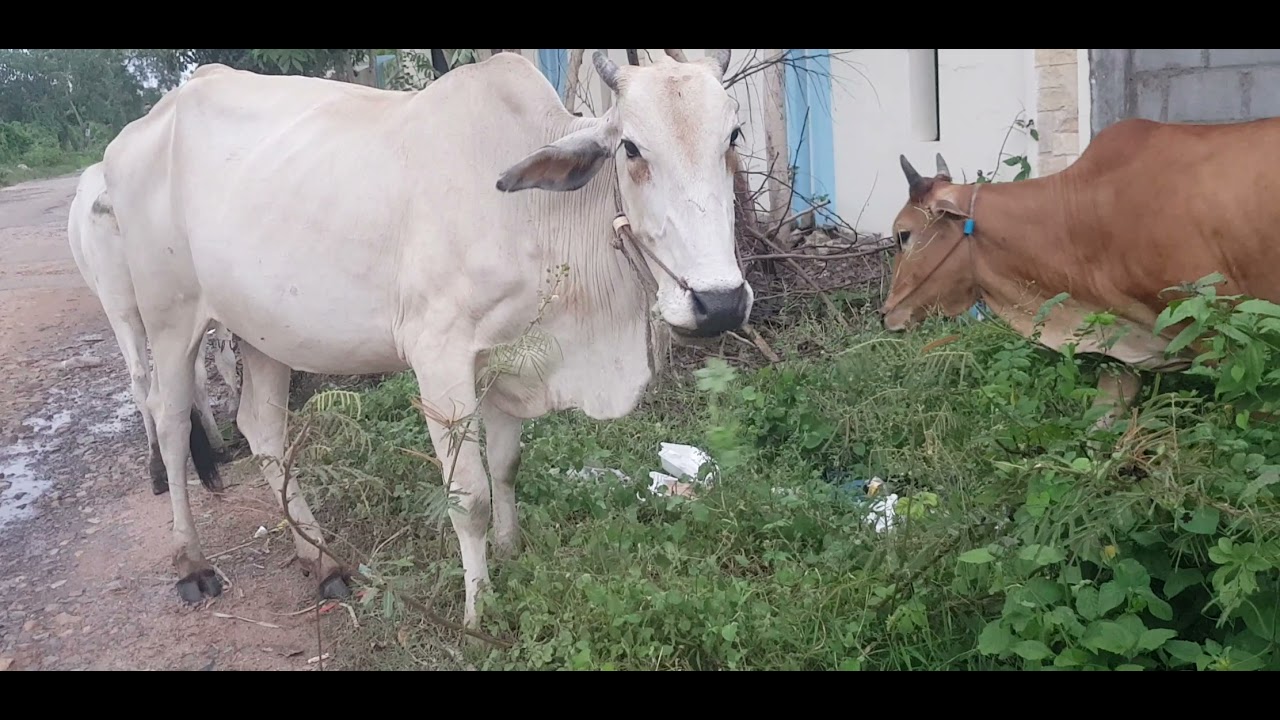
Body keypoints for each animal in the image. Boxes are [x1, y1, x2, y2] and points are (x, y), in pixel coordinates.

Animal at [100, 49, 752, 627]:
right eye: (632, 148)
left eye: (733, 137)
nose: (719, 302)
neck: (537, 218)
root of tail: (140, 129)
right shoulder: (440, 357)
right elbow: (471, 496)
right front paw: (478, 610)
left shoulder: (507, 358)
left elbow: (507, 466)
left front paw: (513, 551)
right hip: (169, 317)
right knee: (170, 422)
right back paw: (192, 564)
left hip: (262, 330)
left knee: (262, 429)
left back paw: (322, 562)